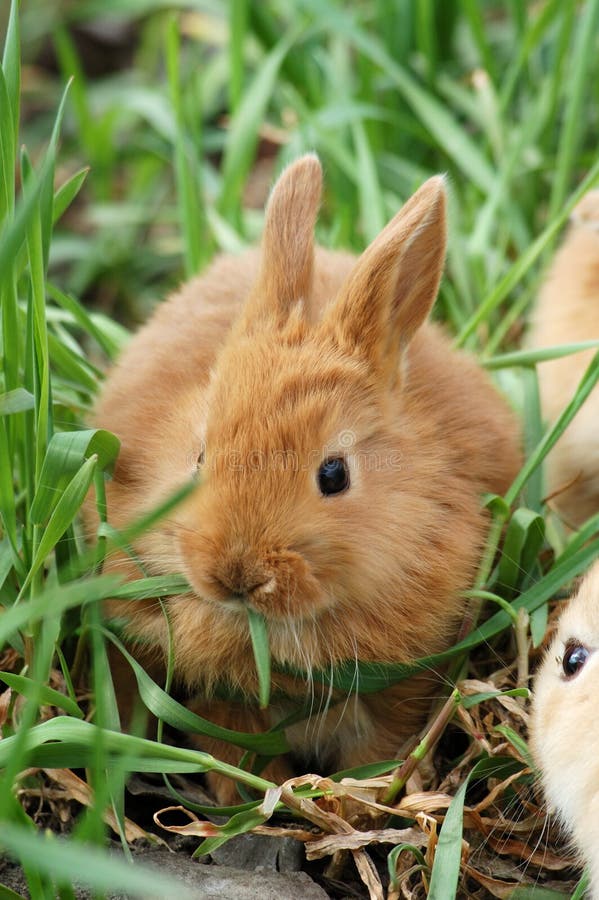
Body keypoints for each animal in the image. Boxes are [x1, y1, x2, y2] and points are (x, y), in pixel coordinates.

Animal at [86, 155, 521, 803]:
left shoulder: (401, 684)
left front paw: (361, 792)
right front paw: (252, 794)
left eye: (334, 474)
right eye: (199, 457)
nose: (236, 575)